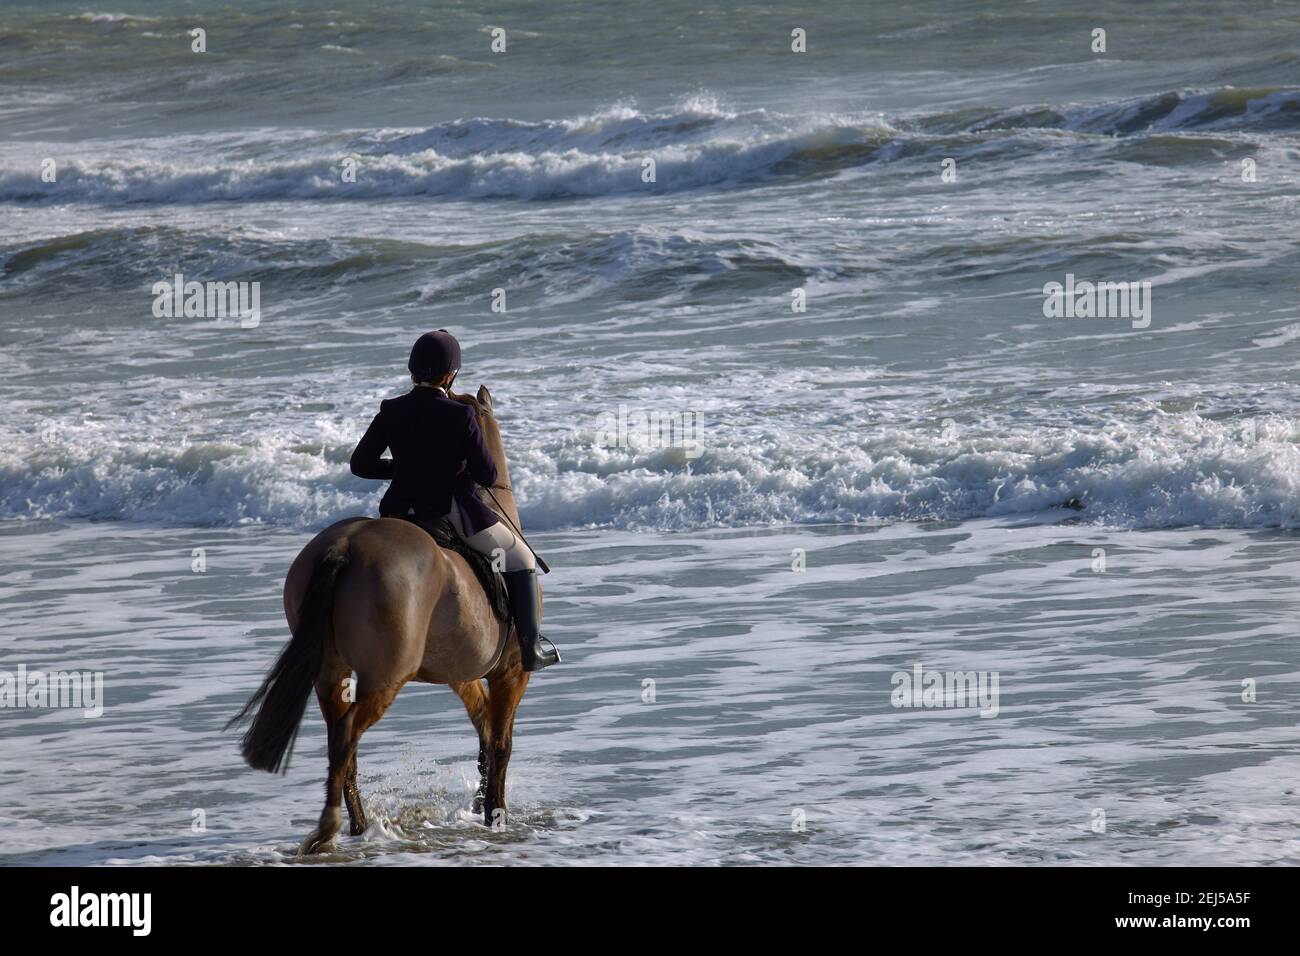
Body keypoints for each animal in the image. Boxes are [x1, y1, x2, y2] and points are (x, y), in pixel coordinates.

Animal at [230, 384, 535, 854]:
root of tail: (345, 546)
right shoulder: (512, 672)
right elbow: (501, 743)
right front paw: (495, 815)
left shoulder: (459, 674)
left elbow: (484, 728)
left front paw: (482, 802)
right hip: (385, 676)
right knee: (346, 738)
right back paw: (330, 828)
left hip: (330, 671)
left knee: (341, 743)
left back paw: (352, 826)